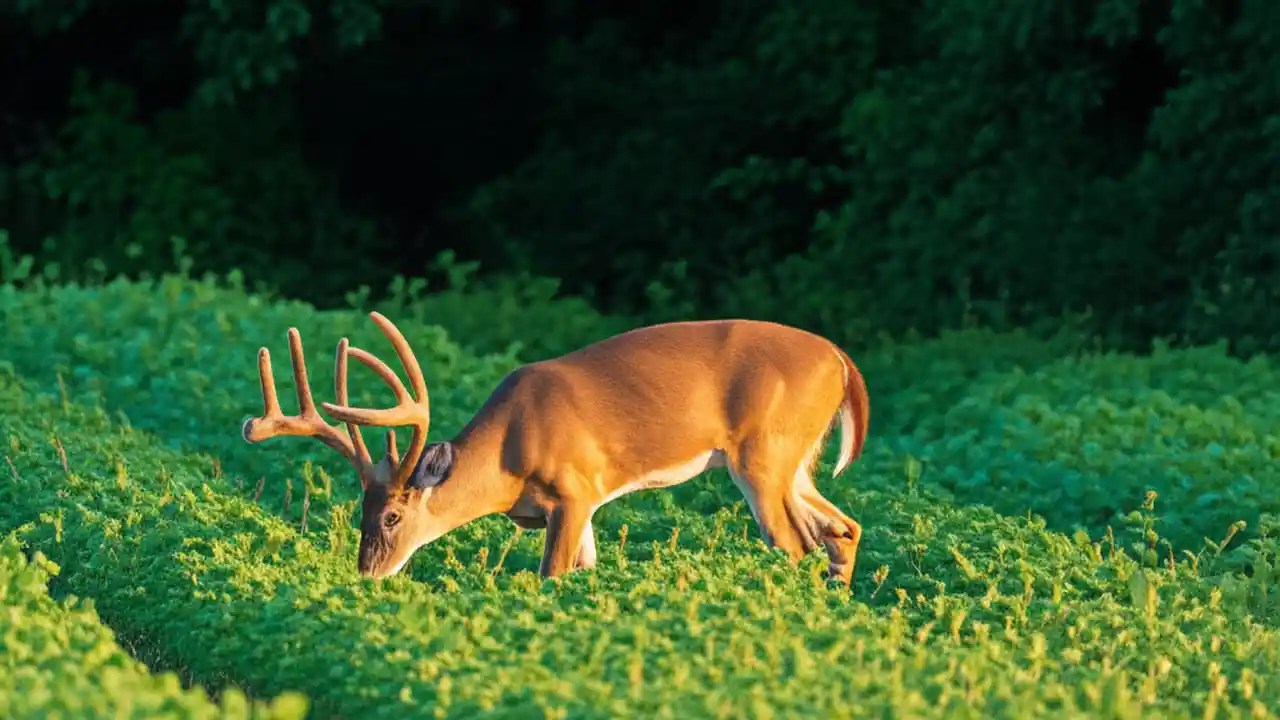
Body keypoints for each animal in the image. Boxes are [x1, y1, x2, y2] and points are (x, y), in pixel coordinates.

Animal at [240, 312, 870, 585]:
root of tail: (842, 360)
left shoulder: (574, 488)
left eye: (393, 515)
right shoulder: (576, 507)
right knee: (842, 530)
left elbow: (551, 576)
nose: (367, 574)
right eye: (360, 513)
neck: (508, 456)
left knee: (793, 543)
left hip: (761, 455)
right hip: (794, 459)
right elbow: (582, 574)